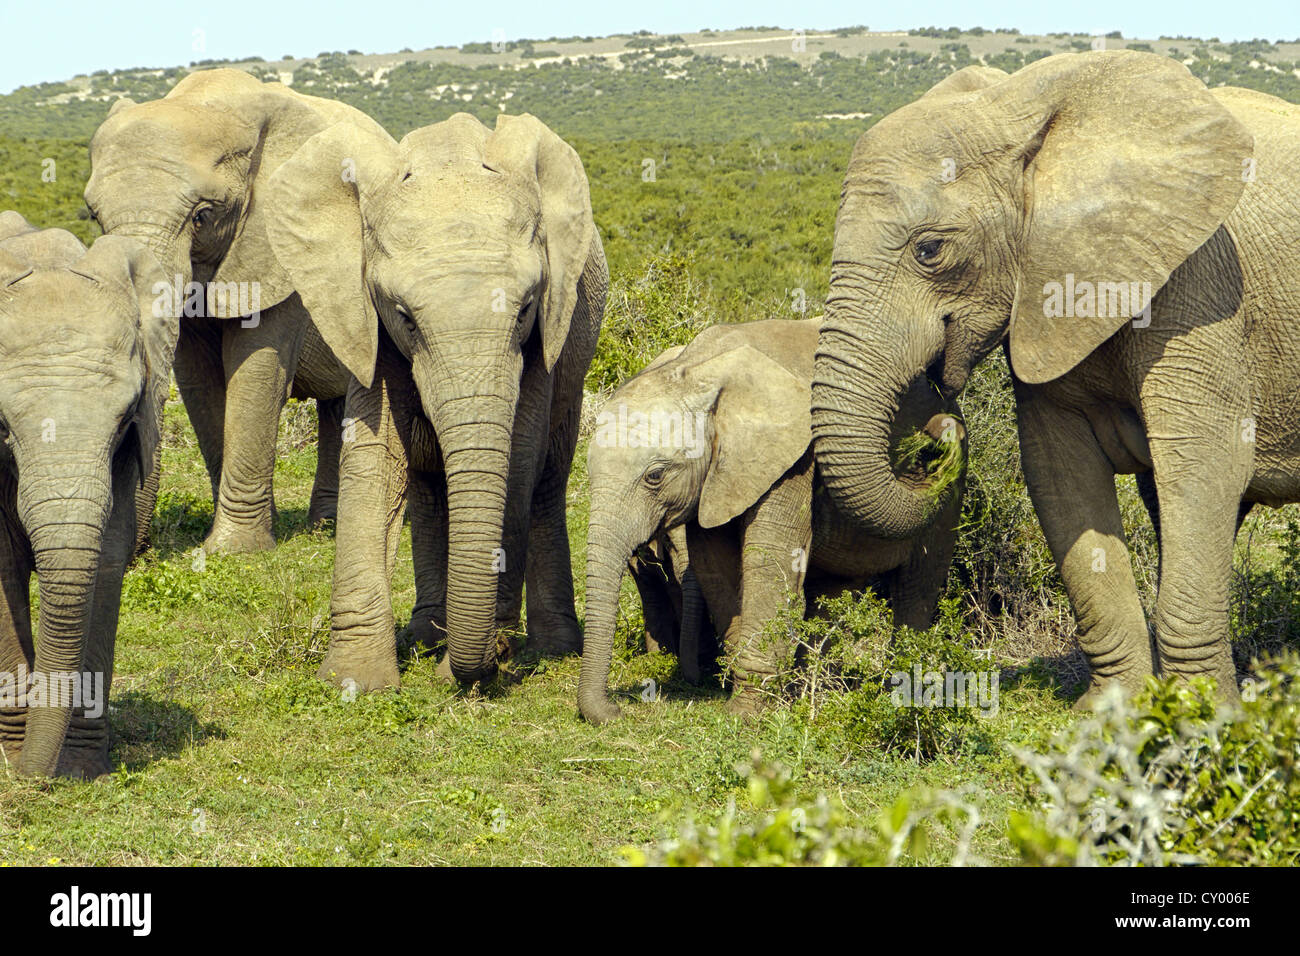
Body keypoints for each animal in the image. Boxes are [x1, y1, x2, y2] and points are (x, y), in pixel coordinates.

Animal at [0, 213, 174, 777]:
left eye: (123, 419)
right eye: (3, 426)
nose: (32, 781)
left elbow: (105, 560)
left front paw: (77, 769)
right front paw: (15, 756)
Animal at [83, 68, 397, 554]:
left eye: (201, 216)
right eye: (94, 216)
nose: (141, 552)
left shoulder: (276, 247)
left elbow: (256, 371)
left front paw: (235, 551)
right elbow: (200, 381)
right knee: (334, 403)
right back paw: (322, 526)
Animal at [261, 112, 607, 688]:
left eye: (525, 309)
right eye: (405, 316)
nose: (466, 673)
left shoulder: (544, 336)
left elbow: (517, 460)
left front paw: (480, 660)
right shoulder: (366, 321)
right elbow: (376, 459)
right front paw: (354, 683)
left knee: (547, 478)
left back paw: (551, 648)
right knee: (427, 486)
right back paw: (426, 636)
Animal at [579, 317, 964, 723]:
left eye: (655, 476)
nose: (617, 710)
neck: (698, 371)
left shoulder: (793, 457)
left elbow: (769, 558)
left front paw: (745, 713)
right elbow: (715, 563)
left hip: (949, 500)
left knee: (918, 585)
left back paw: (899, 691)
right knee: (833, 588)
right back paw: (819, 689)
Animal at [809, 50, 1300, 706]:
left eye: (929, 250)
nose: (939, 430)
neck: (1017, 110)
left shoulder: (1201, 285)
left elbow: (1205, 463)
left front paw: (1197, 713)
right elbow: (1059, 470)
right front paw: (1112, 711)